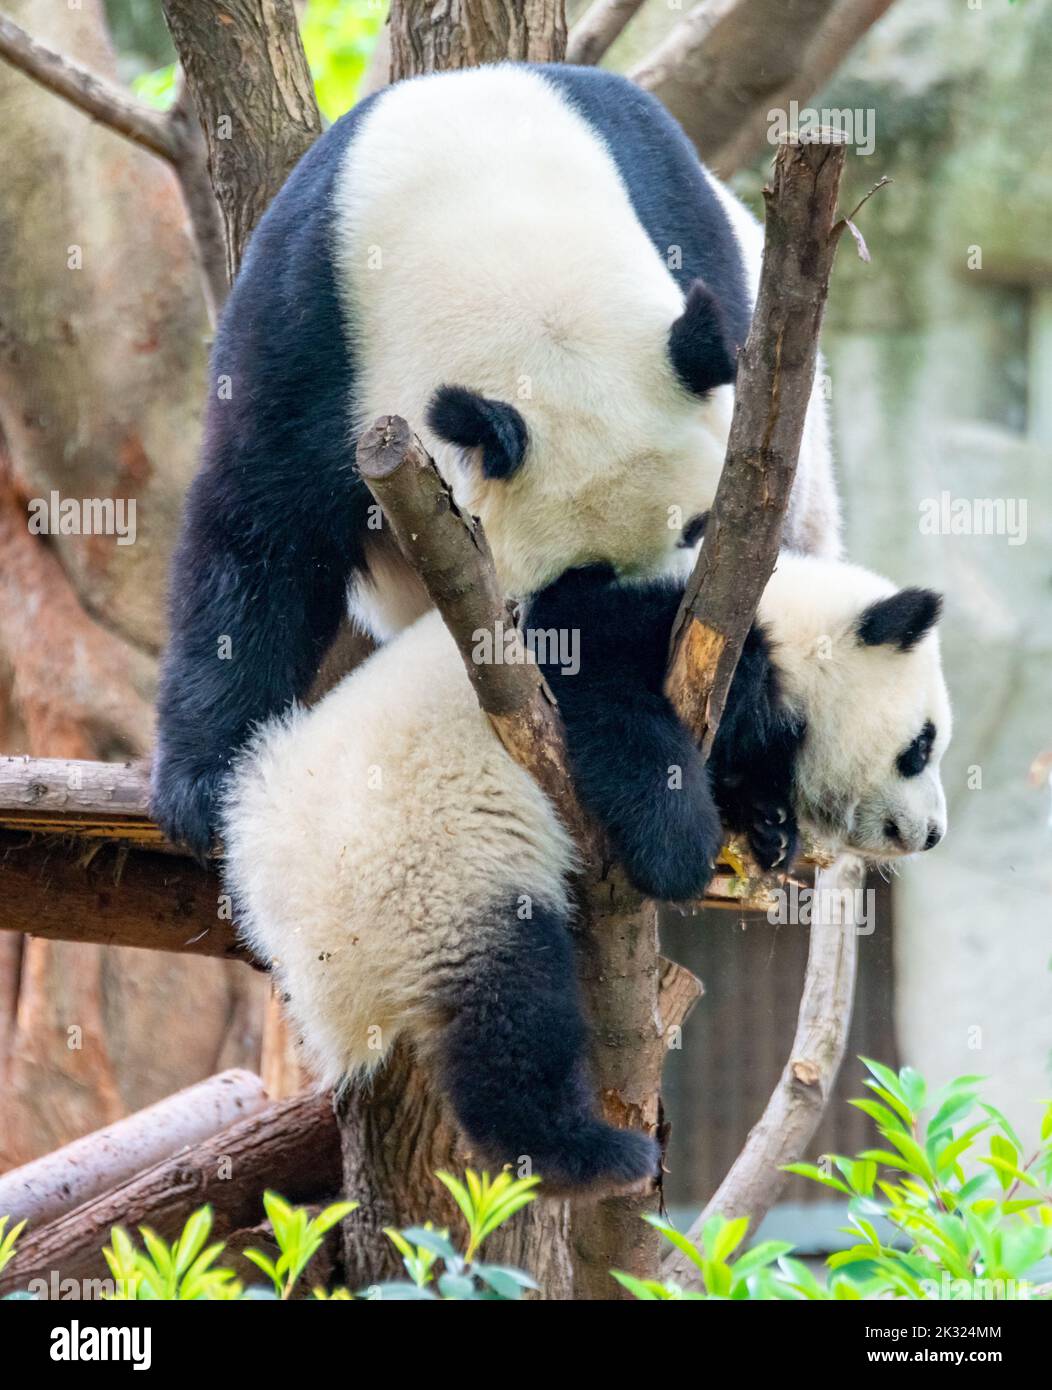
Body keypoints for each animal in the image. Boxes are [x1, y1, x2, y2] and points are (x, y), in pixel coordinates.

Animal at [152, 62, 839, 859]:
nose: (660, 636)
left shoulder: (690, 239)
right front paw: (203, 790)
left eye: (699, 529)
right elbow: (261, 526)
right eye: (580, 574)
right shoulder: (312, 313)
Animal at [220, 551, 951, 1192]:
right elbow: (601, 695)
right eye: (921, 747)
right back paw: (583, 1156)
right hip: (429, 866)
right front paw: (680, 848)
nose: (934, 834)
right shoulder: (603, 626)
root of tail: (277, 899)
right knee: (515, 1012)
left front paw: (768, 826)